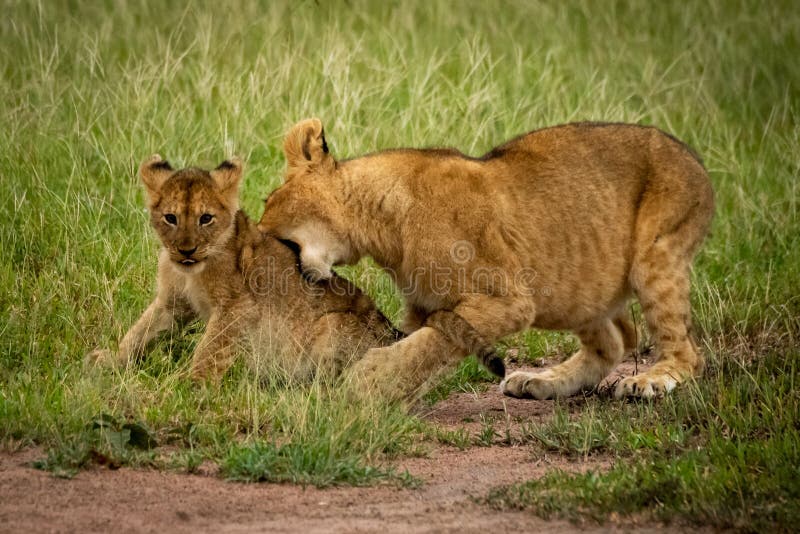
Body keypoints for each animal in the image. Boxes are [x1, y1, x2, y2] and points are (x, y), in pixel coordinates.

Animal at [89, 155, 401, 382]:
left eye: (206, 218)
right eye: (170, 218)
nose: (186, 250)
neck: (191, 273)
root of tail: (395, 335)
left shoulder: (237, 307)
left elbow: (209, 350)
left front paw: (189, 384)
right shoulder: (172, 303)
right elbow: (141, 330)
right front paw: (110, 360)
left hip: (334, 324)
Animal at [257, 119, 714, 401]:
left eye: (268, 211)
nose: (255, 237)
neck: (380, 221)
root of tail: (694, 157)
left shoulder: (510, 300)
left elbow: (428, 345)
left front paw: (367, 382)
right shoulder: (423, 306)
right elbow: (425, 350)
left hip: (657, 256)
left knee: (687, 353)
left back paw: (650, 382)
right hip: (577, 287)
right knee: (615, 340)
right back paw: (543, 381)